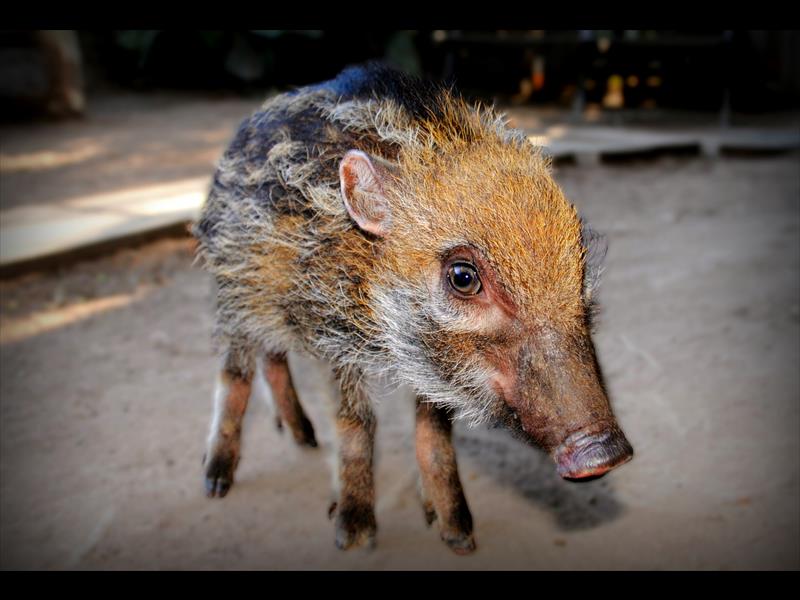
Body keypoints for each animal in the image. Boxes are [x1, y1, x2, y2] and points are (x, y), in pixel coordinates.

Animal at [193, 62, 633, 554]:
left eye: (580, 263)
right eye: (463, 277)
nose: (607, 453)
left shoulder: (433, 366)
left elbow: (433, 431)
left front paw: (459, 536)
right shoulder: (333, 335)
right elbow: (356, 422)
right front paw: (354, 538)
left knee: (272, 355)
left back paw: (304, 439)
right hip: (234, 291)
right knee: (236, 370)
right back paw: (216, 483)